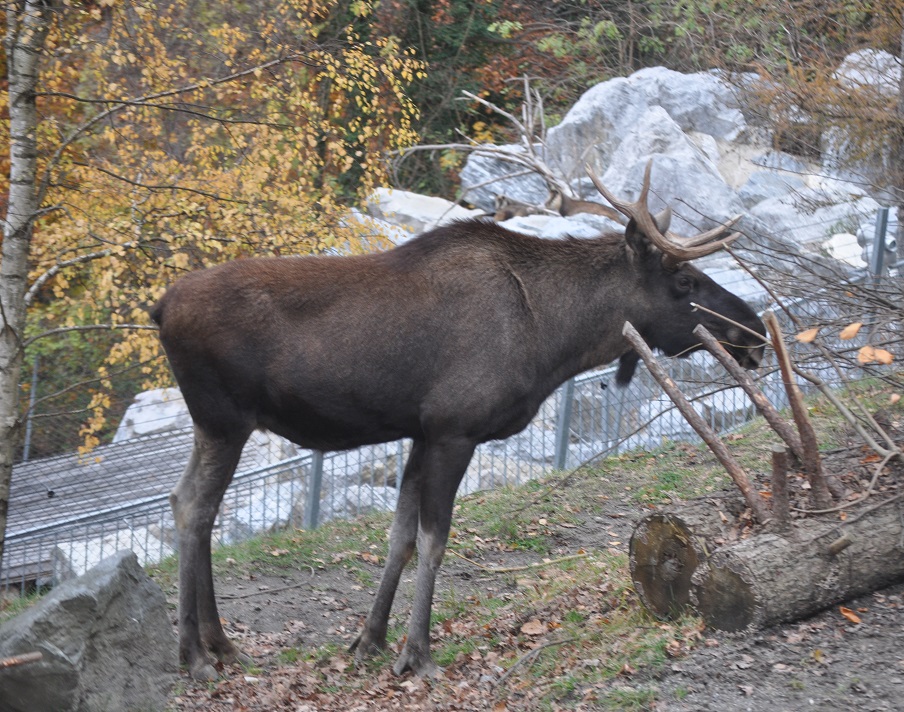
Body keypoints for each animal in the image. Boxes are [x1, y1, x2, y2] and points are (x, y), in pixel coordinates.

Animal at [151, 161, 766, 681]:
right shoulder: (455, 430)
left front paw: (370, 641)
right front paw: (416, 654)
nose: (754, 331)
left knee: (188, 503)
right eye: (684, 282)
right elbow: (435, 540)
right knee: (194, 508)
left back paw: (221, 644)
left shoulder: (421, 432)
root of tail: (158, 309)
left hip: (216, 425)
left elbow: (399, 538)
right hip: (224, 419)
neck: (553, 340)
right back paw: (195, 655)